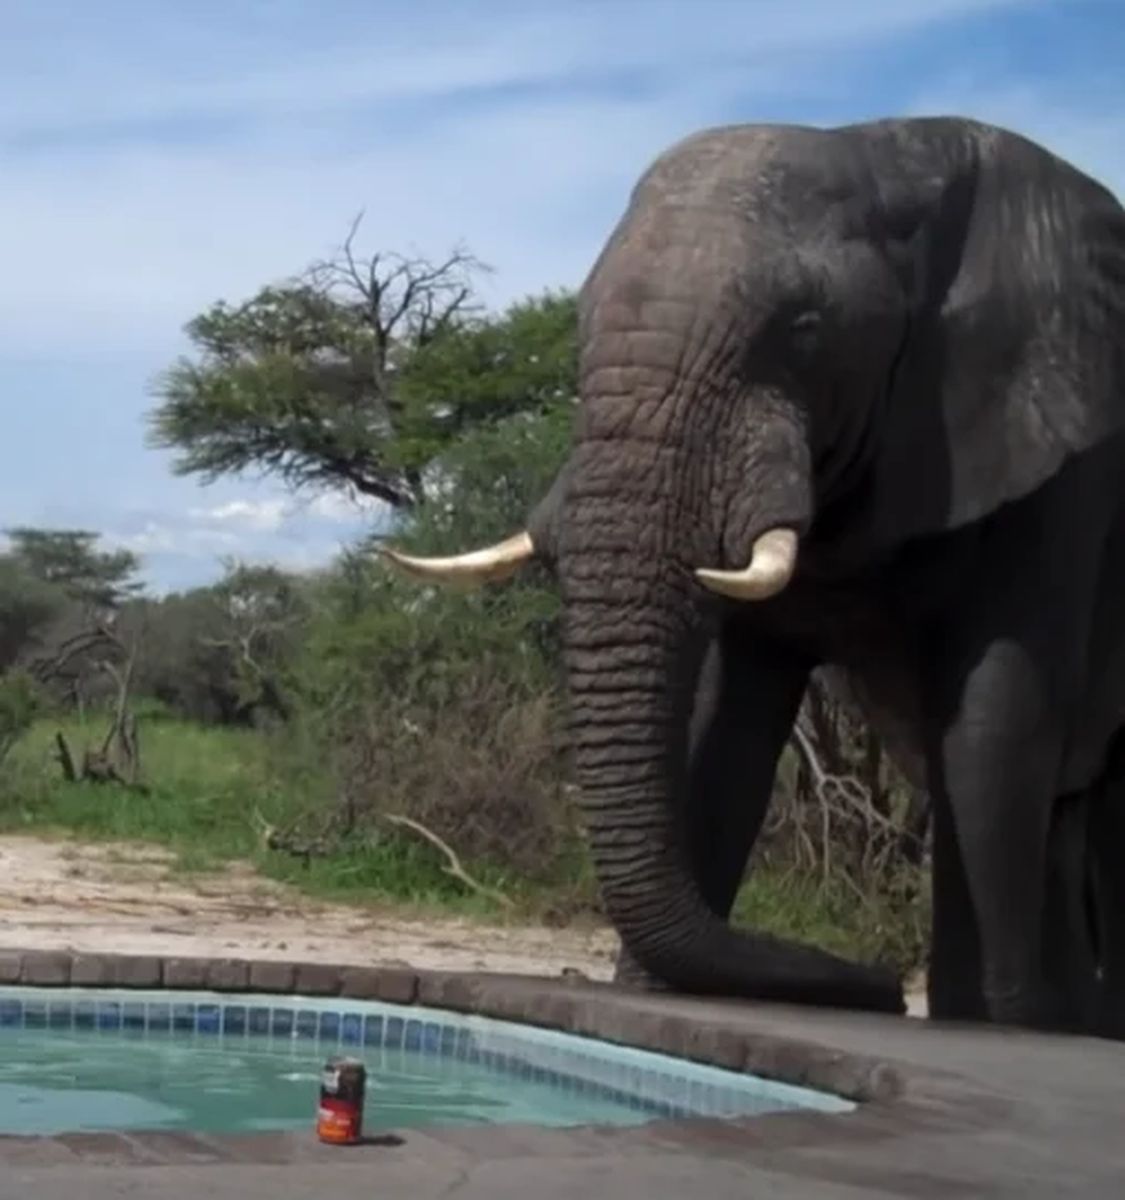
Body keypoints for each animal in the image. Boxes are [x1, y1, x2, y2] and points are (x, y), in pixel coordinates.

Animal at [383, 116, 1125, 1034]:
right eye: (580, 322)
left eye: (804, 326)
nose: (879, 985)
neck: (892, 153)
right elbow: (725, 718)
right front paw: (653, 991)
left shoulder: (1064, 448)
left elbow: (996, 713)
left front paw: (987, 1022)